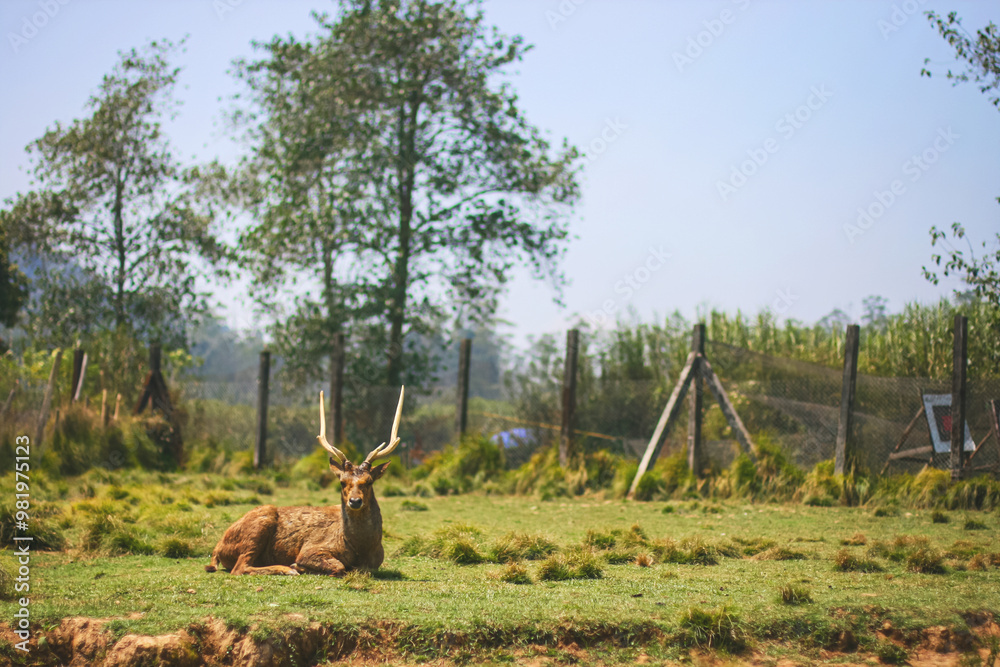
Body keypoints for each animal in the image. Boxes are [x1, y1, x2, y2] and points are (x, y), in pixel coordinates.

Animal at [204, 386, 404, 576]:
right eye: (341, 481)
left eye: (369, 481)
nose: (355, 501)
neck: (362, 548)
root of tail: (217, 548)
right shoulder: (311, 548)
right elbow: (339, 566)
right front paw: (299, 566)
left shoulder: (376, 561)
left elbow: (361, 568)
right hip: (258, 525)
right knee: (240, 567)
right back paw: (287, 569)